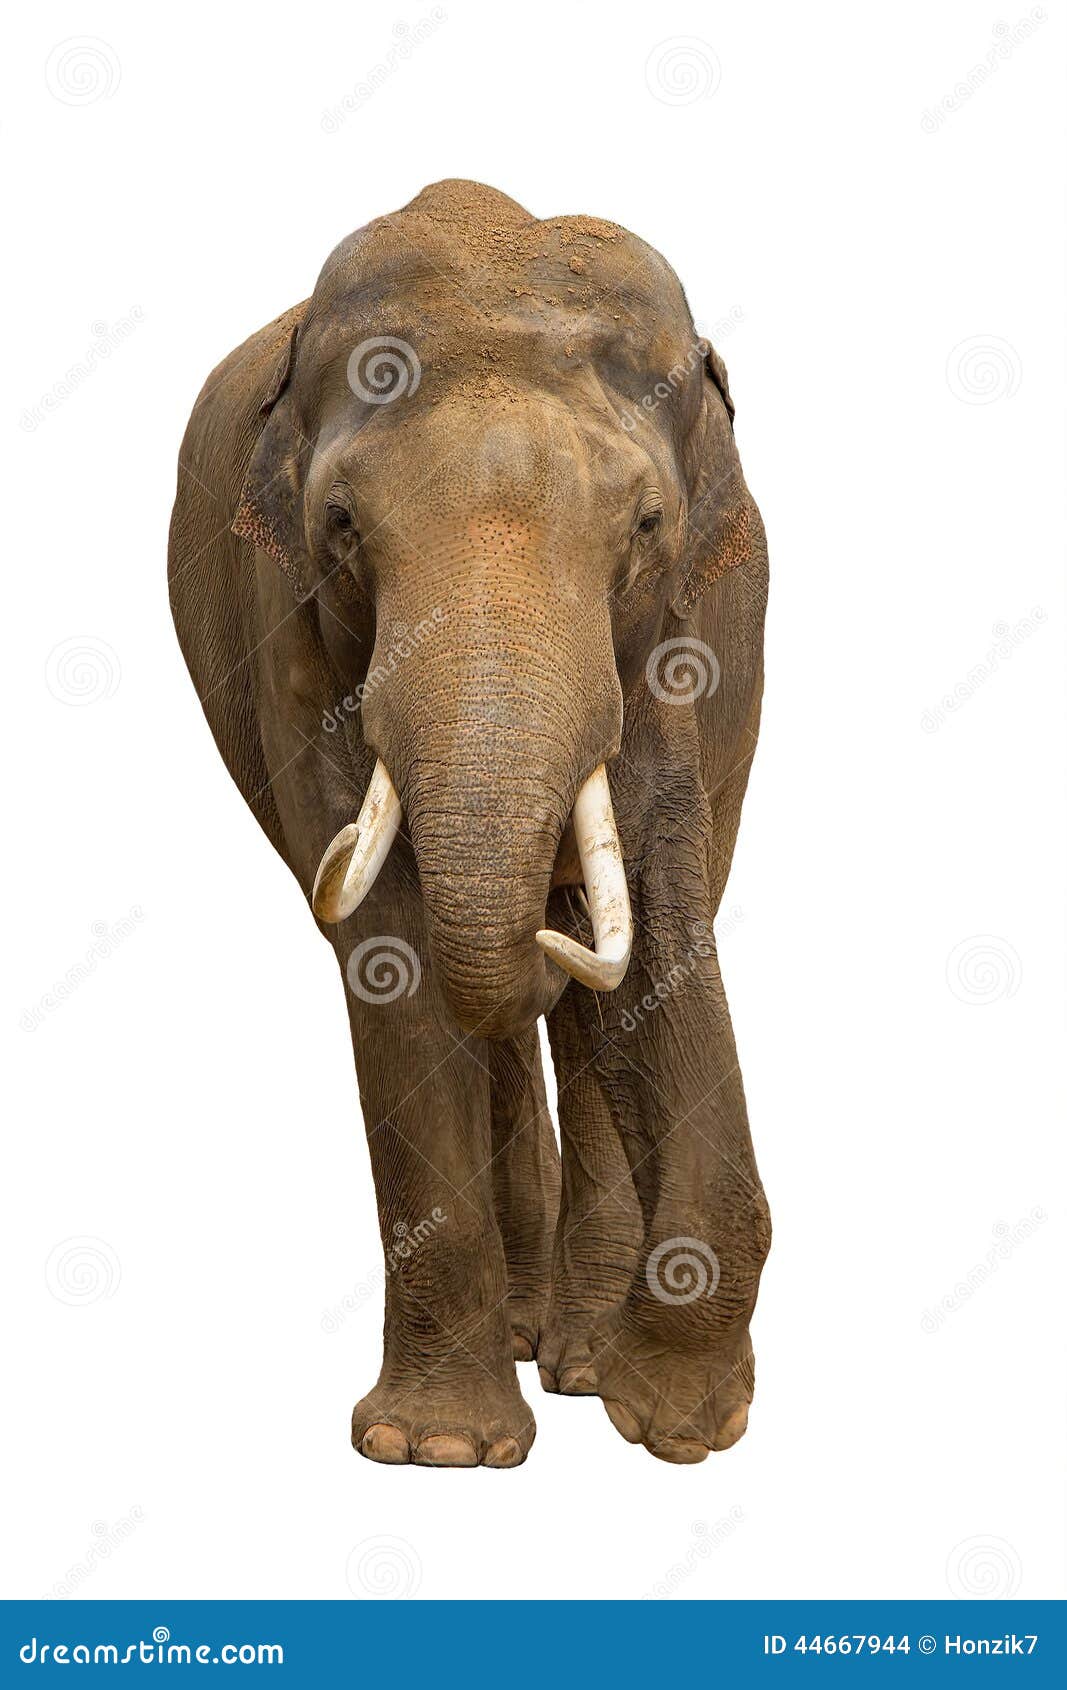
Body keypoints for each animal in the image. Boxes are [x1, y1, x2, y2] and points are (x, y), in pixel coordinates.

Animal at [168, 179, 771, 1468]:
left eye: (646, 525)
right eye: (343, 525)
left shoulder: (680, 638)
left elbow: (657, 902)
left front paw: (675, 1422)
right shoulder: (289, 627)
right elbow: (390, 946)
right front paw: (436, 1450)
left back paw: (577, 1359)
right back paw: (529, 1339)